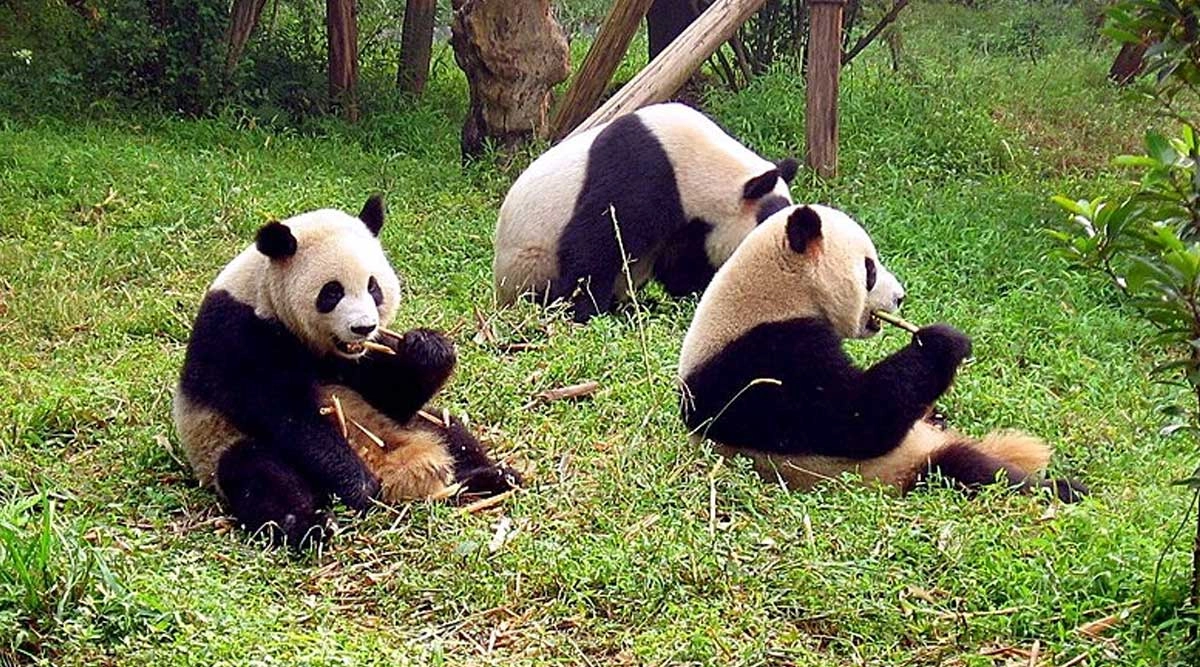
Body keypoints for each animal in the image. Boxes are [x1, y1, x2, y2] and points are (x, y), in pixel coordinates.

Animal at [173, 195, 521, 546]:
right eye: (332, 292)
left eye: (373, 287)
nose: (363, 327)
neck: (265, 294)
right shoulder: (238, 335)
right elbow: (287, 415)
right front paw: (357, 484)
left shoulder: (359, 357)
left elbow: (393, 394)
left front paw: (428, 349)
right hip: (221, 443)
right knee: (260, 474)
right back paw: (311, 524)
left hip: (408, 425)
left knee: (450, 430)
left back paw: (493, 476)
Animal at [493, 102, 799, 322]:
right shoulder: (641, 173)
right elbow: (594, 244)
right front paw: (583, 311)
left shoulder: (689, 223)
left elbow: (683, 261)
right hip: (529, 264)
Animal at [677, 203, 1087, 502]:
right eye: (870, 269)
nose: (900, 297)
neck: (775, 292)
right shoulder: (765, 358)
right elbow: (857, 418)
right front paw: (942, 341)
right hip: (906, 466)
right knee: (972, 470)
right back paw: (1062, 489)